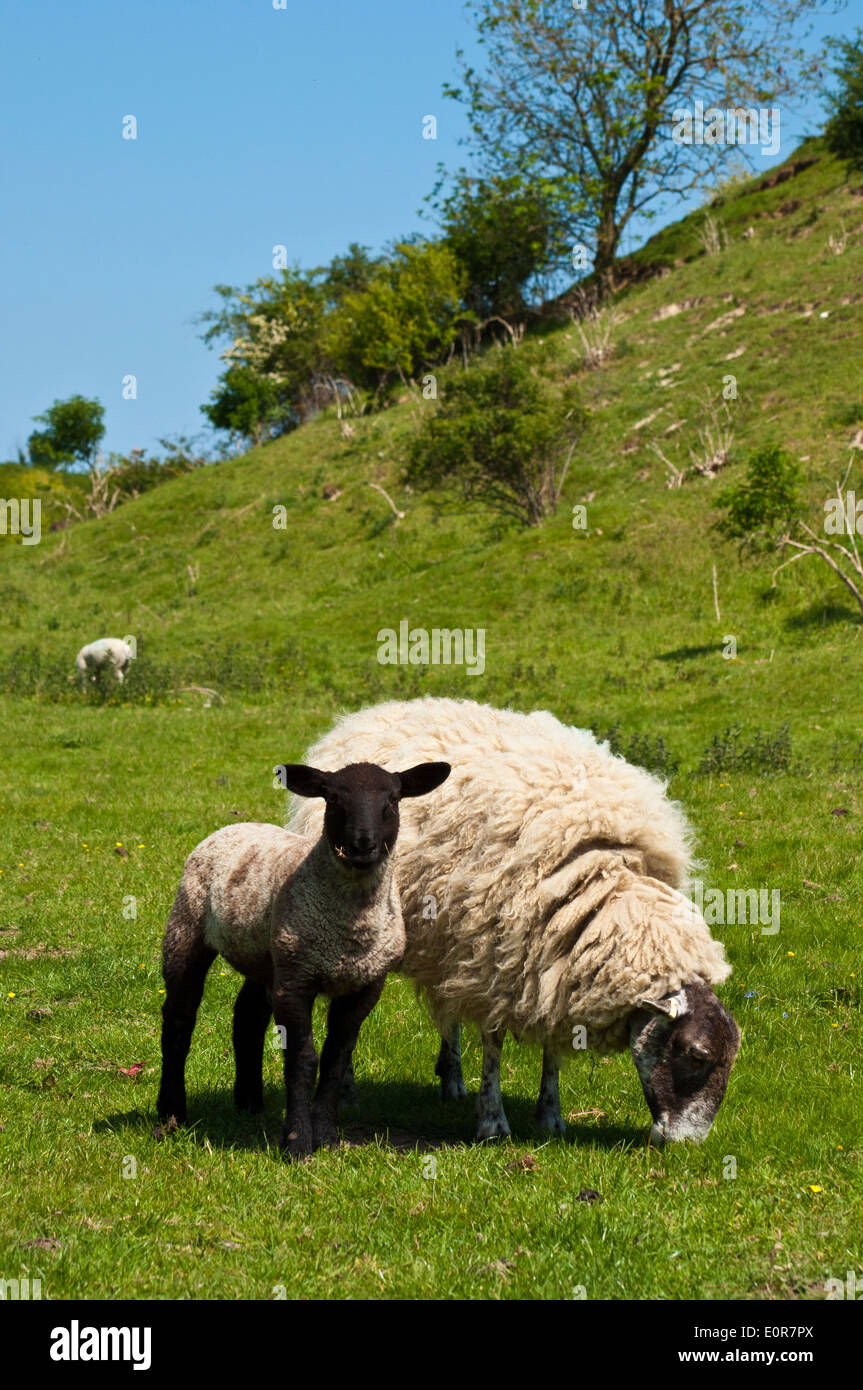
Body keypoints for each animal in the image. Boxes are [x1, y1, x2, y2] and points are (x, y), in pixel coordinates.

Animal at [156, 758, 450, 1158]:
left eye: (392, 800)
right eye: (333, 799)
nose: (362, 845)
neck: (349, 930)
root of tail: (237, 824)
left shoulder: (366, 986)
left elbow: (335, 1059)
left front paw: (326, 1136)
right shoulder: (296, 982)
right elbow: (303, 1059)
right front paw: (297, 1143)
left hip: (266, 956)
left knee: (247, 1017)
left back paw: (249, 1103)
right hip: (188, 923)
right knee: (179, 1016)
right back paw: (171, 1112)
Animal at [289, 698, 741, 1146]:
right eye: (695, 1054)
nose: (687, 1145)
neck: (605, 892)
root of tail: (374, 711)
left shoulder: (550, 959)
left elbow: (552, 1045)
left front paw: (551, 1116)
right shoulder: (497, 958)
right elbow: (493, 1042)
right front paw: (493, 1121)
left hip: (447, 945)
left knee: (447, 1008)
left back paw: (452, 1079)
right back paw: (348, 1091)